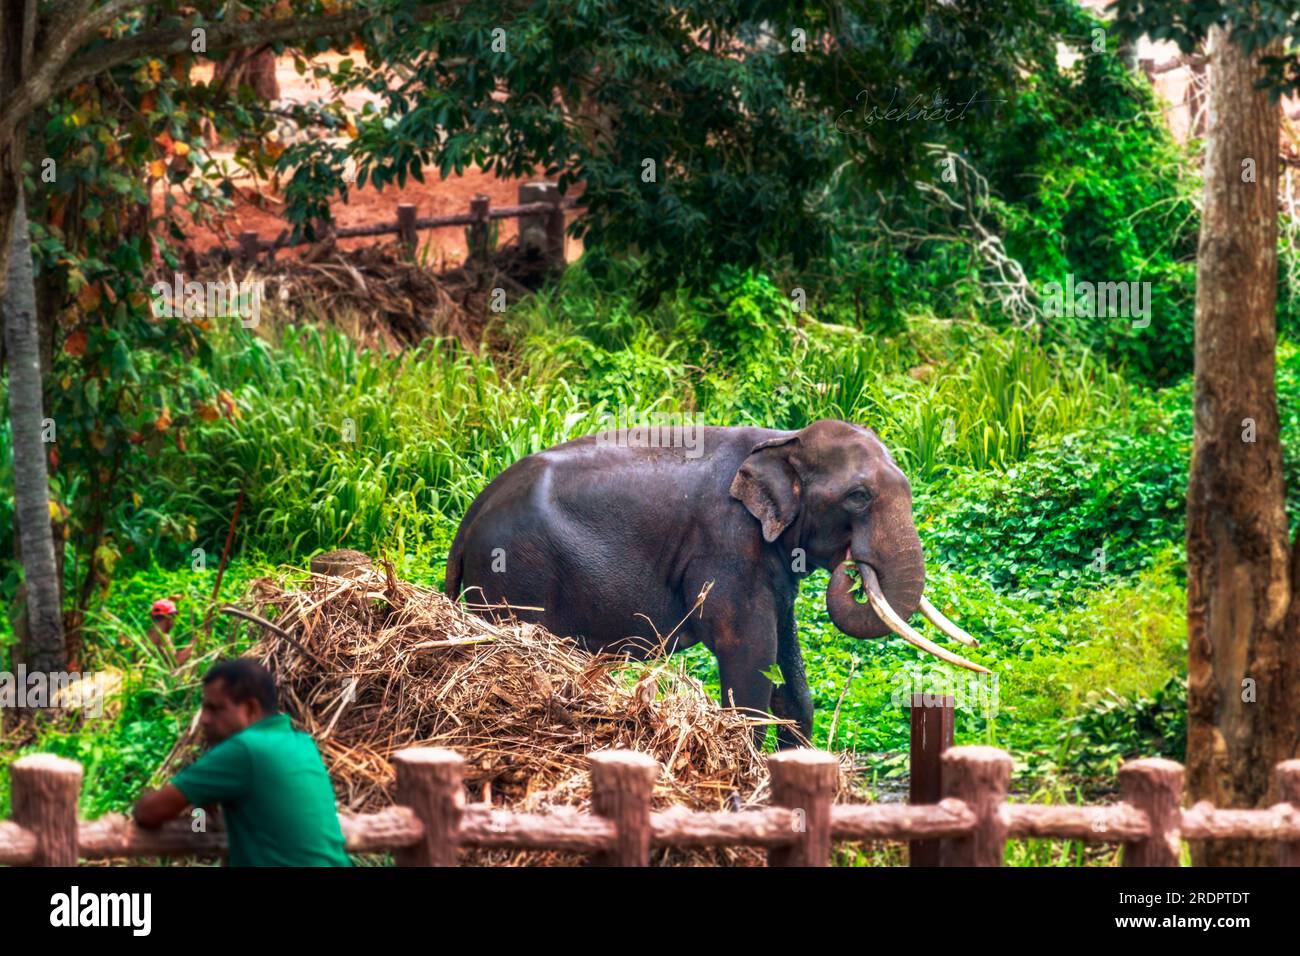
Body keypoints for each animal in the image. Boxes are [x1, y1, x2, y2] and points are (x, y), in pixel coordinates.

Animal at [444, 418, 987, 748]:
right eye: (857, 496)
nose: (852, 569)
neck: (783, 440)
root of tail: (469, 520)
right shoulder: (726, 543)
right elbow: (747, 652)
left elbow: (786, 655)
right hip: (516, 575)